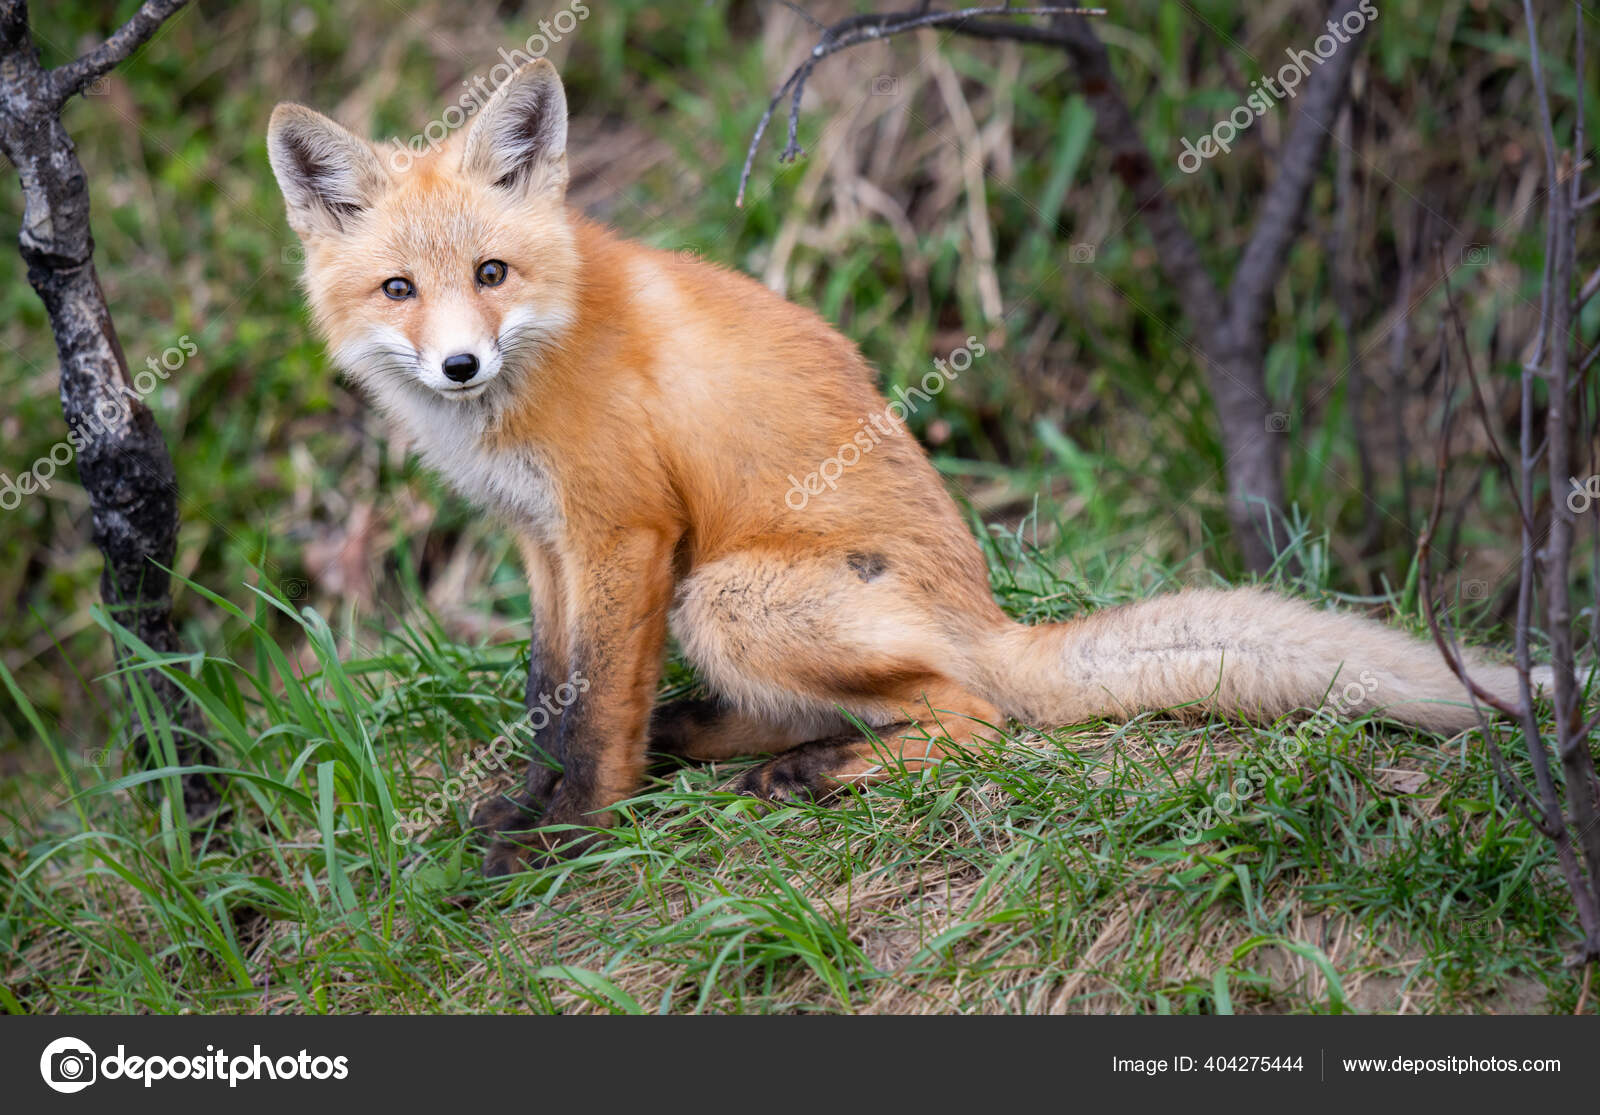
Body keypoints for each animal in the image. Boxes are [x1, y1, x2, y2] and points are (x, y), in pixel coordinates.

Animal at [268, 60, 1545, 875]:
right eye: (399, 289)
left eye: (490, 272)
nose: (461, 364)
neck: (534, 372)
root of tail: (990, 616)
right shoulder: (542, 541)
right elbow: (551, 693)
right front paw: (532, 803)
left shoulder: (621, 531)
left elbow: (597, 713)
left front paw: (568, 834)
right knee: (834, 708)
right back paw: (734, 742)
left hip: (721, 593)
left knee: (975, 714)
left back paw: (819, 769)